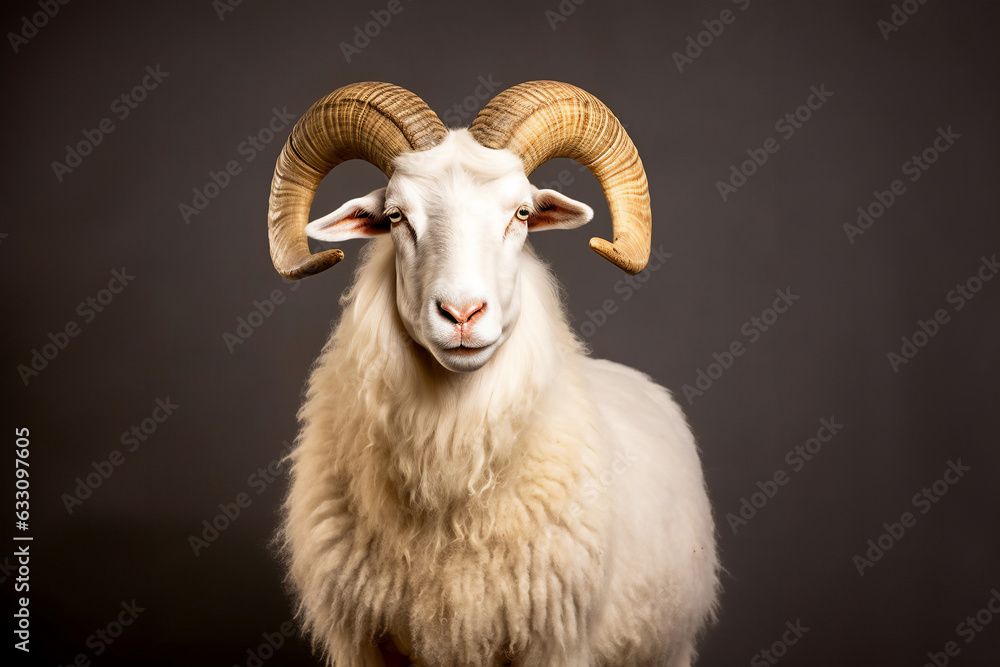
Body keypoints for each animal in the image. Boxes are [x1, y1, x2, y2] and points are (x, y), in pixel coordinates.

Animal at [268, 81, 719, 667]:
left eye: (522, 213)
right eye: (395, 217)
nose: (462, 314)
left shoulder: (554, 643)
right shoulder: (363, 643)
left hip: (669, 649)